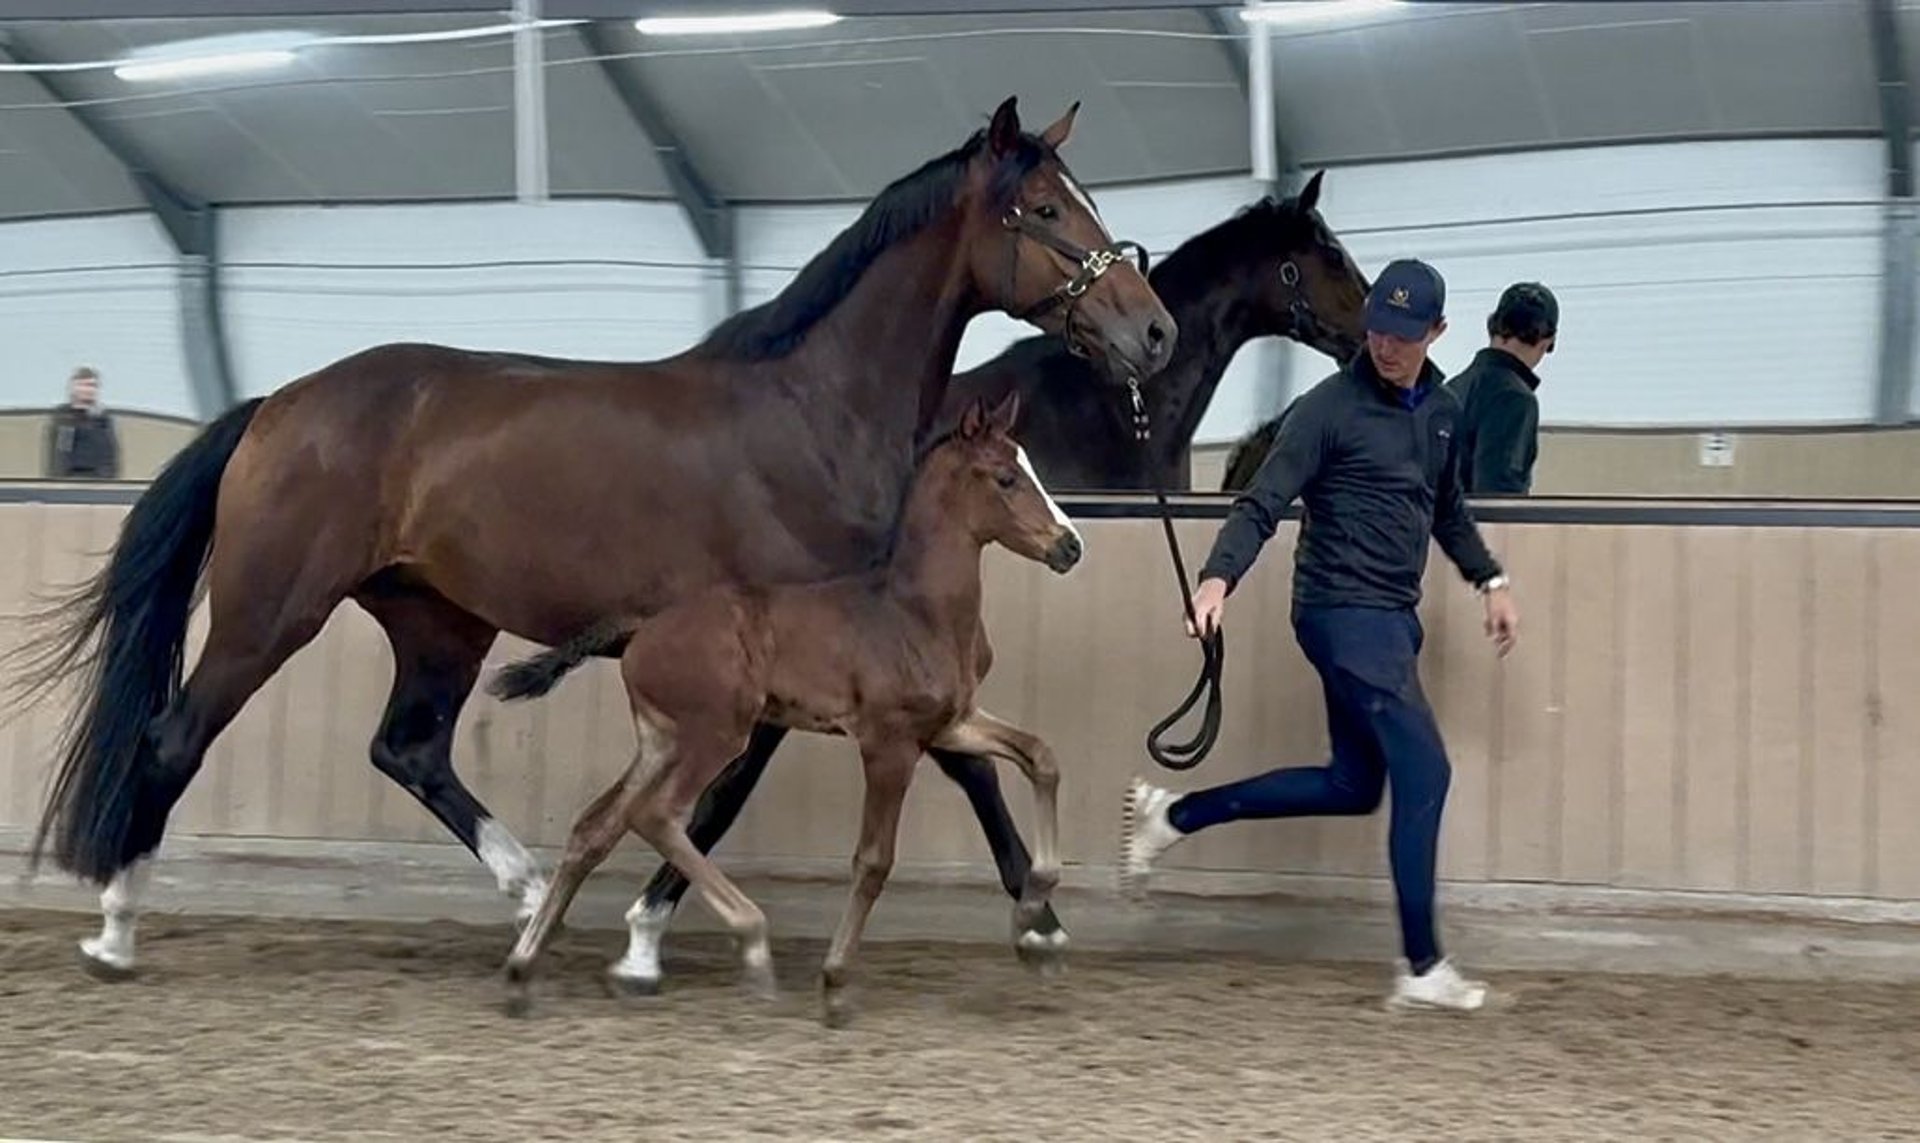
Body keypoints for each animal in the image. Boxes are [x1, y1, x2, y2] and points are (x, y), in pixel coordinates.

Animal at [489, 392, 1072, 1026]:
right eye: (1007, 478)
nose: (1070, 546)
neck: (917, 613)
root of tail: (641, 626)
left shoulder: (951, 724)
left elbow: (1041, 756)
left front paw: (1033, 915)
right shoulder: (888, 743)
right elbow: (874, 860)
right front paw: (835, 981)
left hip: (662, 741)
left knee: (596, 827)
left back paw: (522, 973)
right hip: (717, 735)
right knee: (657, 815)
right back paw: (751, 941)